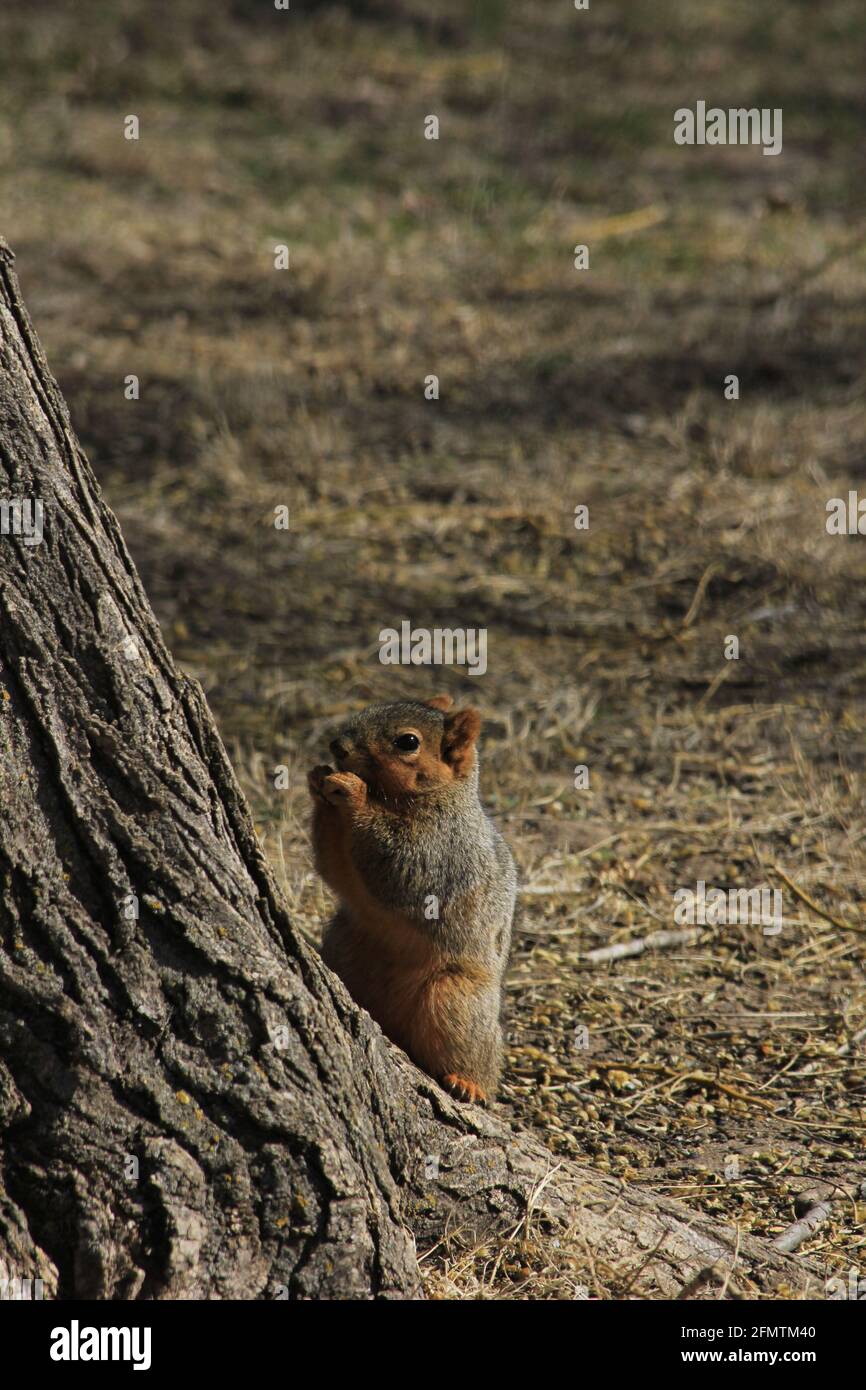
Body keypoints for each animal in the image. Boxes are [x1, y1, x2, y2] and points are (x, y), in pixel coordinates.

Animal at [307, 695, 516, 1104]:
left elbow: (401, 866)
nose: (338, 746)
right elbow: (335, 868)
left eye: (407, 742)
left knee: (470, 1051)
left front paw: (352, 792)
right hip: (344, 949)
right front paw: (318, 777)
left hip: (455, 999)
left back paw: (469, 1083)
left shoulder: (444, 850)